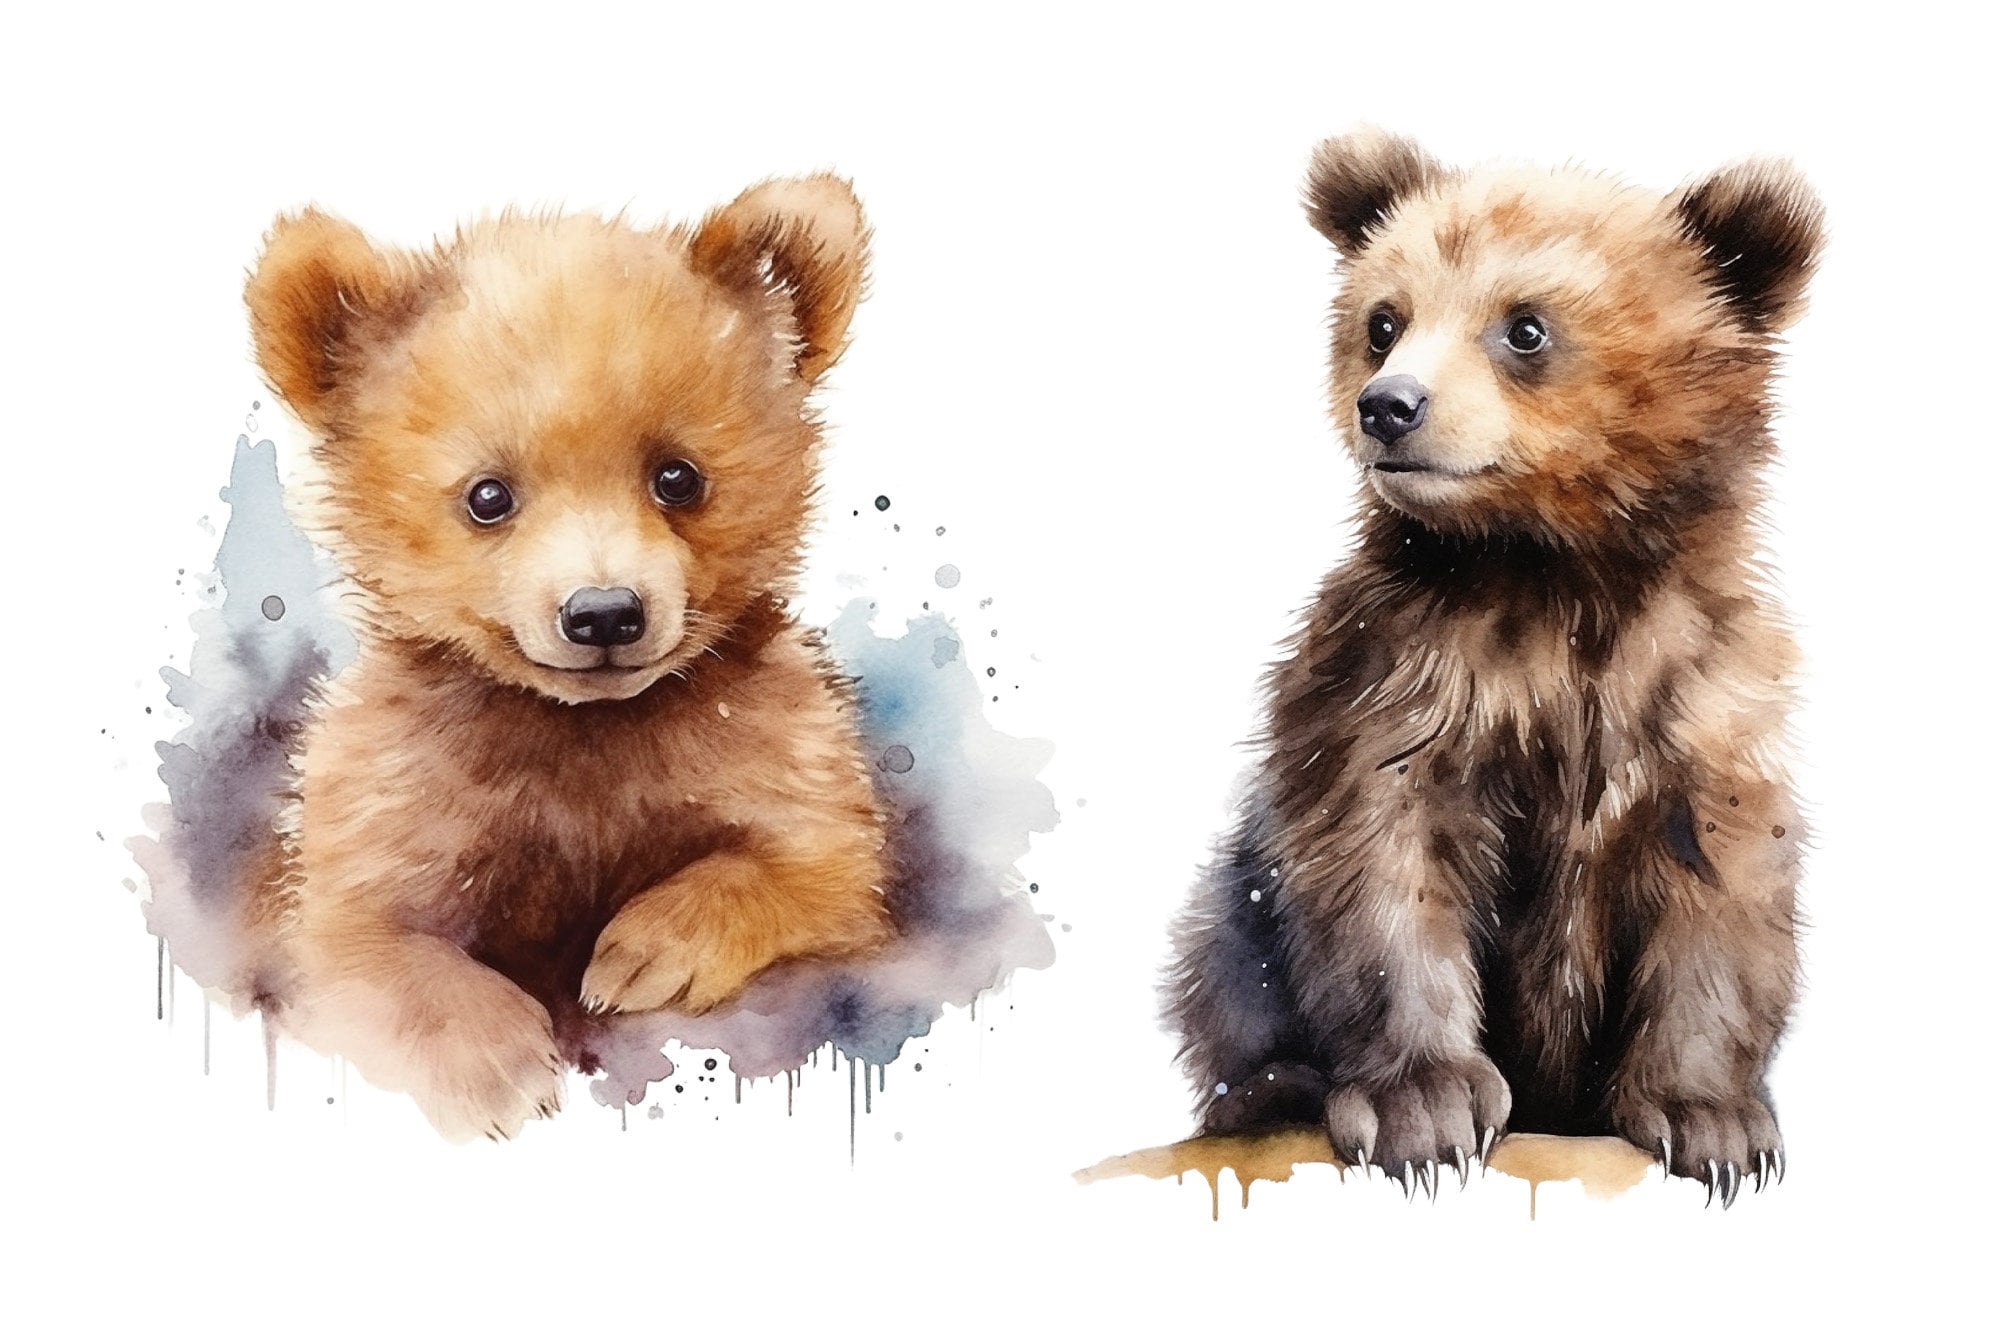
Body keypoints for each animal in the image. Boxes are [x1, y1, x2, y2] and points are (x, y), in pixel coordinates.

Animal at [238, 176, 894, 1141]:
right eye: (487, 495)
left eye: (678, 475)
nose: (604, 613)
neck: (581, 731)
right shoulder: (389, 793)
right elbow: (361, 944)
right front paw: (500, 1069)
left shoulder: (778, 746)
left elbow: (821, 868)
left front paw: (643, 952)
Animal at [1163, 130, 1821, 1207]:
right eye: (1384, 321)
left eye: (1524, 327)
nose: (1388, 406)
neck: (1547, 571)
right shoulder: (1401, 685)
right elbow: (1380, 866)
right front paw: (1421, 1103)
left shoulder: (1696, 706)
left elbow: (1717, 899)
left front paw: (1710, 1117)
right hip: (1235, 903)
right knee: (1220, 961)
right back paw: (1273, 1084)